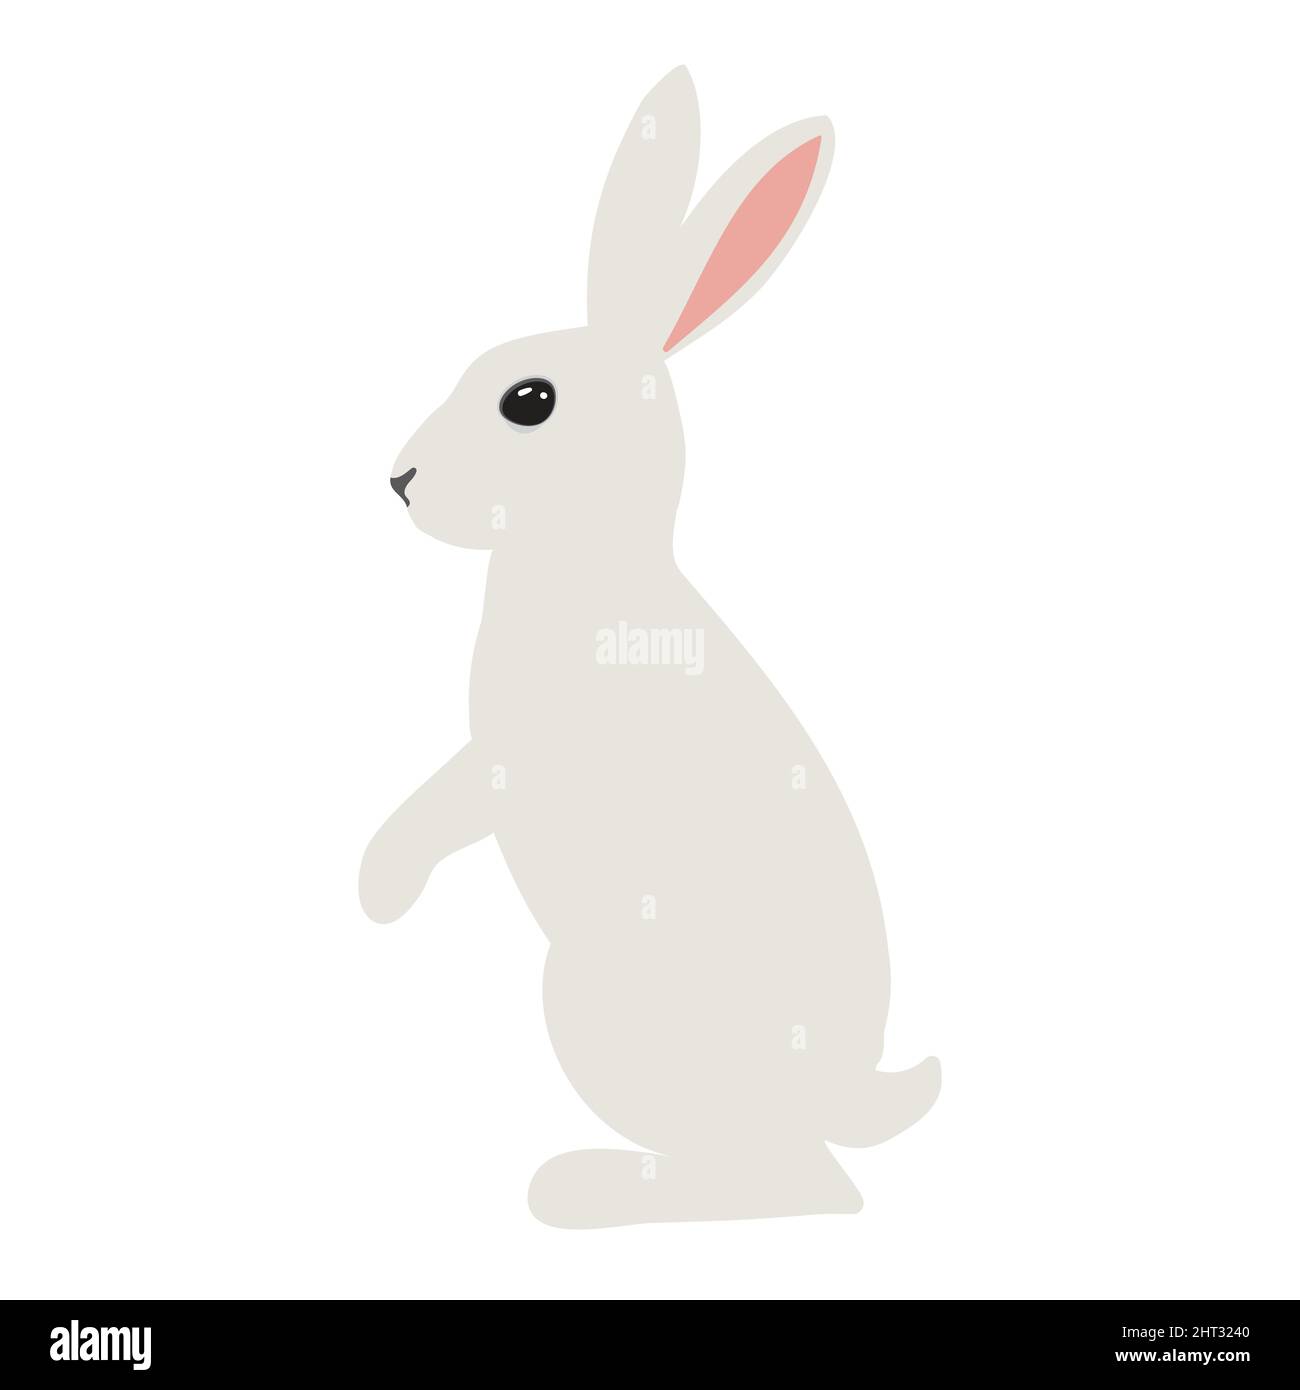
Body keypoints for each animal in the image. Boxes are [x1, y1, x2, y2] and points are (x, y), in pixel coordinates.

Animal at [359, 67, 940, 1227]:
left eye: (528, 401)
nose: (399, 480)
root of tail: (849, 1094)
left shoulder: (512, 759)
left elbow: (445, 801)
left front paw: (380, 890)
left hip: (593, 998)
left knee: (806, 1186)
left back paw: (582, 1190)